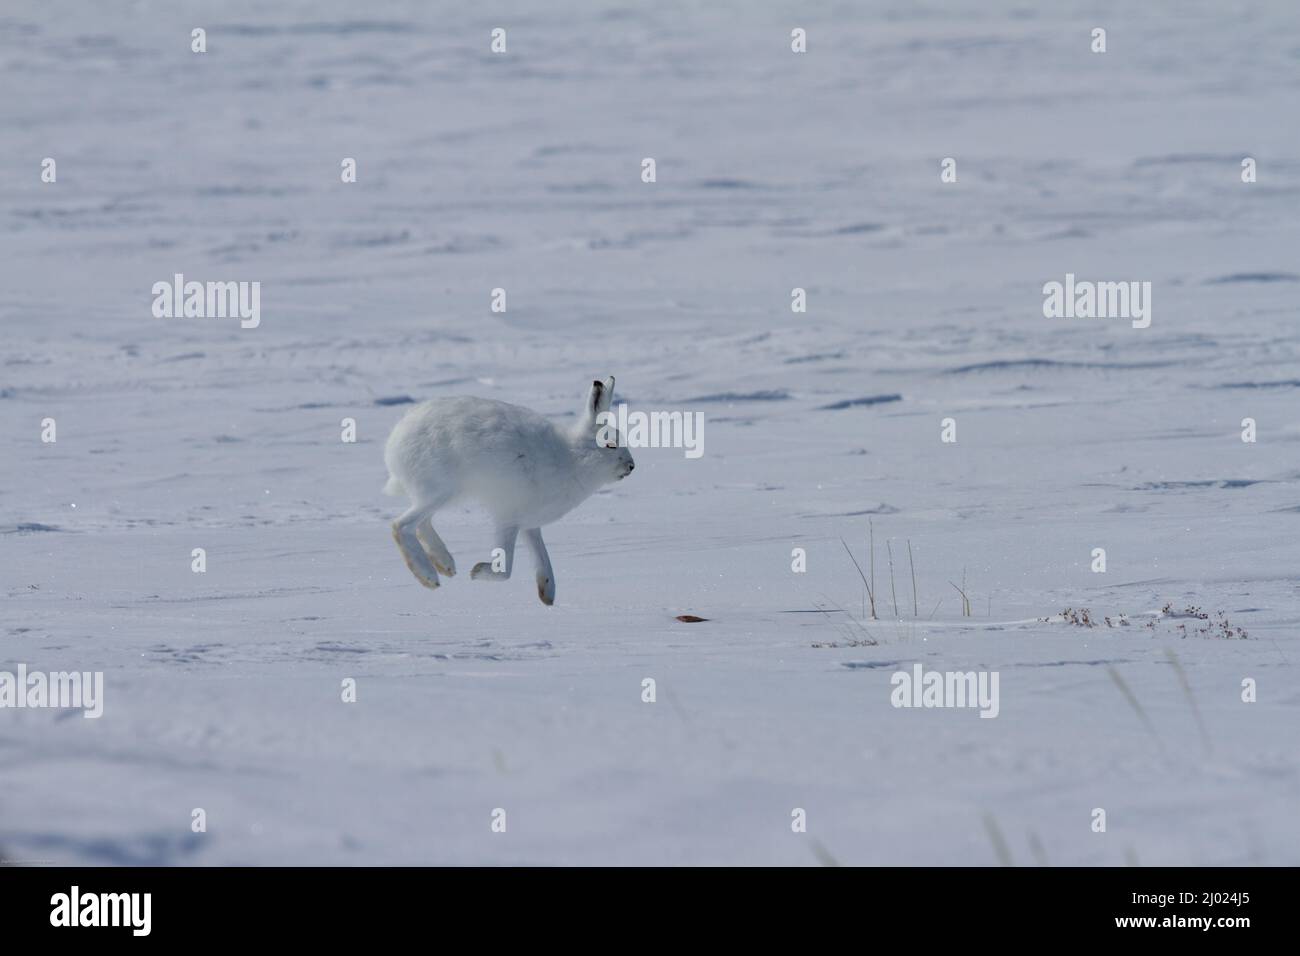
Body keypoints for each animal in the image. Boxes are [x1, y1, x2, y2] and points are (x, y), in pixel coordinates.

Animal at [383, 376, 634, 605]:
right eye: (610, 445)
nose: (631, 466)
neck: (574, 457)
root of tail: (395, 445)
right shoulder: (508, 518)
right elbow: (505, 570)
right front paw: (477, 571)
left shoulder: (530, 525)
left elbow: (543, 559)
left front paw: (548, 594)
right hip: (440, 489)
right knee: (401, 526)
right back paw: (428, 575)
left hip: (441, 494)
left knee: (422, 524)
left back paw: (445, 565)